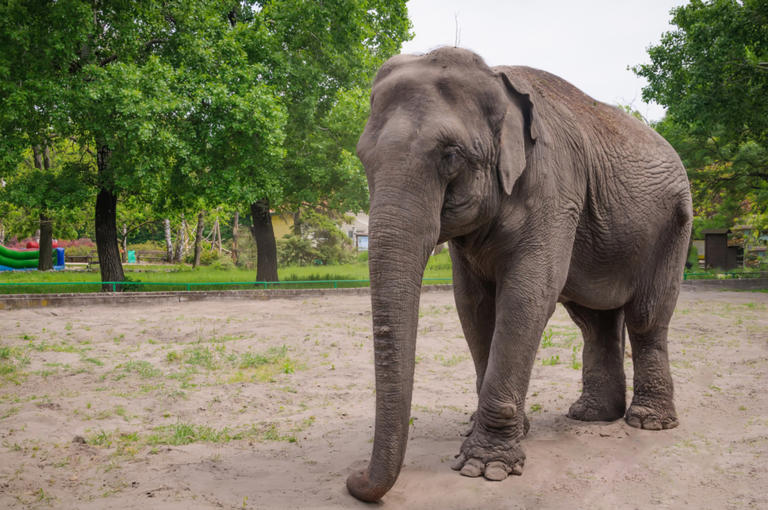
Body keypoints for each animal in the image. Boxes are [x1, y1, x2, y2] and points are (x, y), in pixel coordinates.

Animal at [346, 47, 692, 502]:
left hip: (673, 226)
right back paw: (592, 416)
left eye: (450, 155)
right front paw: (488, 432)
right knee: (594, 321)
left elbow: (528, 296)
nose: (354, 480)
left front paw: (484, 466)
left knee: (647, 317)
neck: (495, 77)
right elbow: (472, 304)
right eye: (363, 158)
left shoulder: (555, 189)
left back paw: (648, 422)